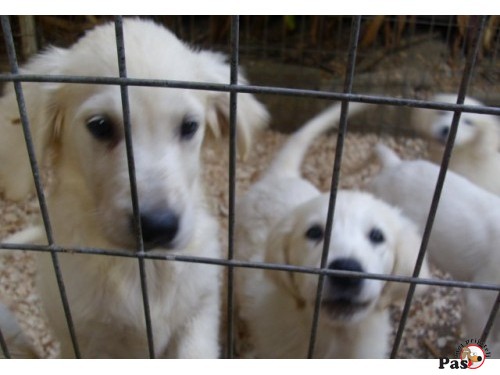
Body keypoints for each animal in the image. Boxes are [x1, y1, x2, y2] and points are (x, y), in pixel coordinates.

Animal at [0, 19, 270, 360]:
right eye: (100, 126)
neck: (143, 268)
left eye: (189, 126)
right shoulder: (85, 338)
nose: (158, 226)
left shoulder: (199, 312)